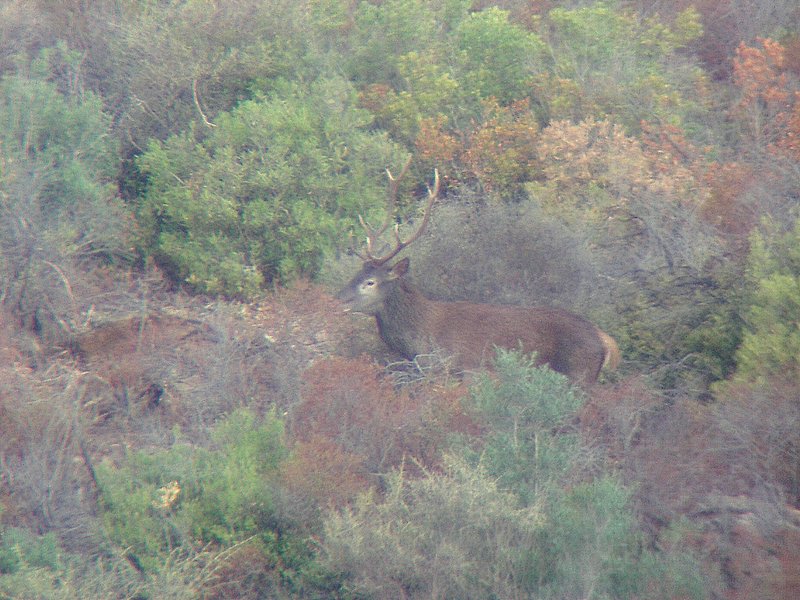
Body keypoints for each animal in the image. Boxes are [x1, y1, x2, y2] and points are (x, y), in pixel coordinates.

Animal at [337, 160, 620, 387]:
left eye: (370, 282)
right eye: (355, 274)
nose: (337, 299)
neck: (422, 342)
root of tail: (606, 342)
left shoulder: (466, 370)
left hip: (579, 375)